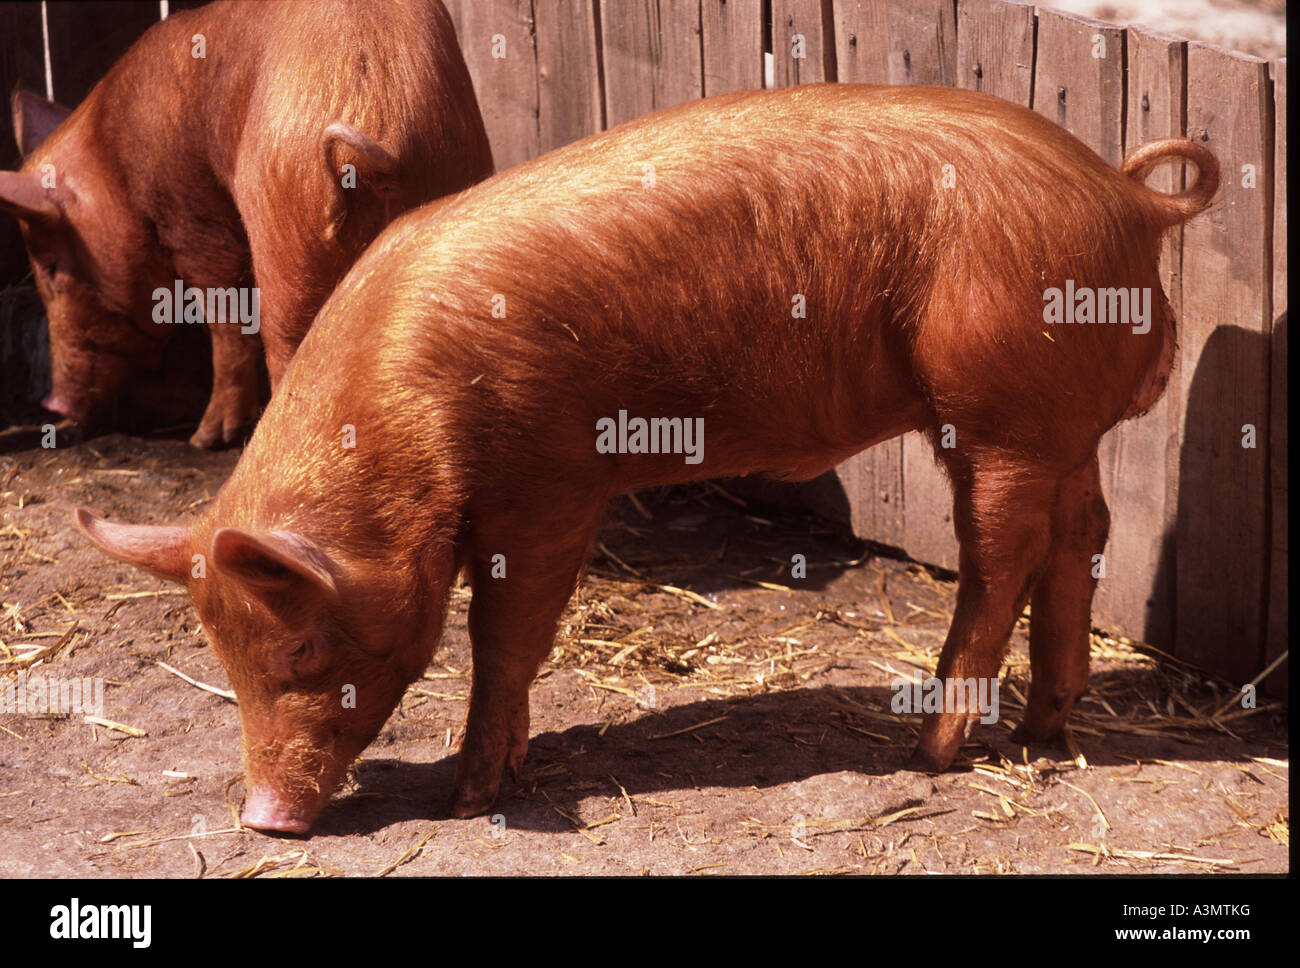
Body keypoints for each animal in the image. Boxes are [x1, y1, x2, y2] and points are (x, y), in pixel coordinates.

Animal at [0, 0, 492, 447]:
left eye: (51, 268)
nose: (53, 404)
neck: (114, 162)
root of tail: (377, 116)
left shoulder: (190, 210)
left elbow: (224, 316)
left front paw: (203, 440)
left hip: (285, 246)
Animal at [75, 84, 1219, 833]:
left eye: (305, 648)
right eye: (223, 655)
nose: (265, 818)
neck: (409, 419)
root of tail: (1130, 196)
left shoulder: (549, 481)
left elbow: (505, 633)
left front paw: (471, 795)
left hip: (997, 407)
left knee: (1001, 554)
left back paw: (930, 752)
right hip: (1057, 420)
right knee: (1080, 535)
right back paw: (1042, 735)